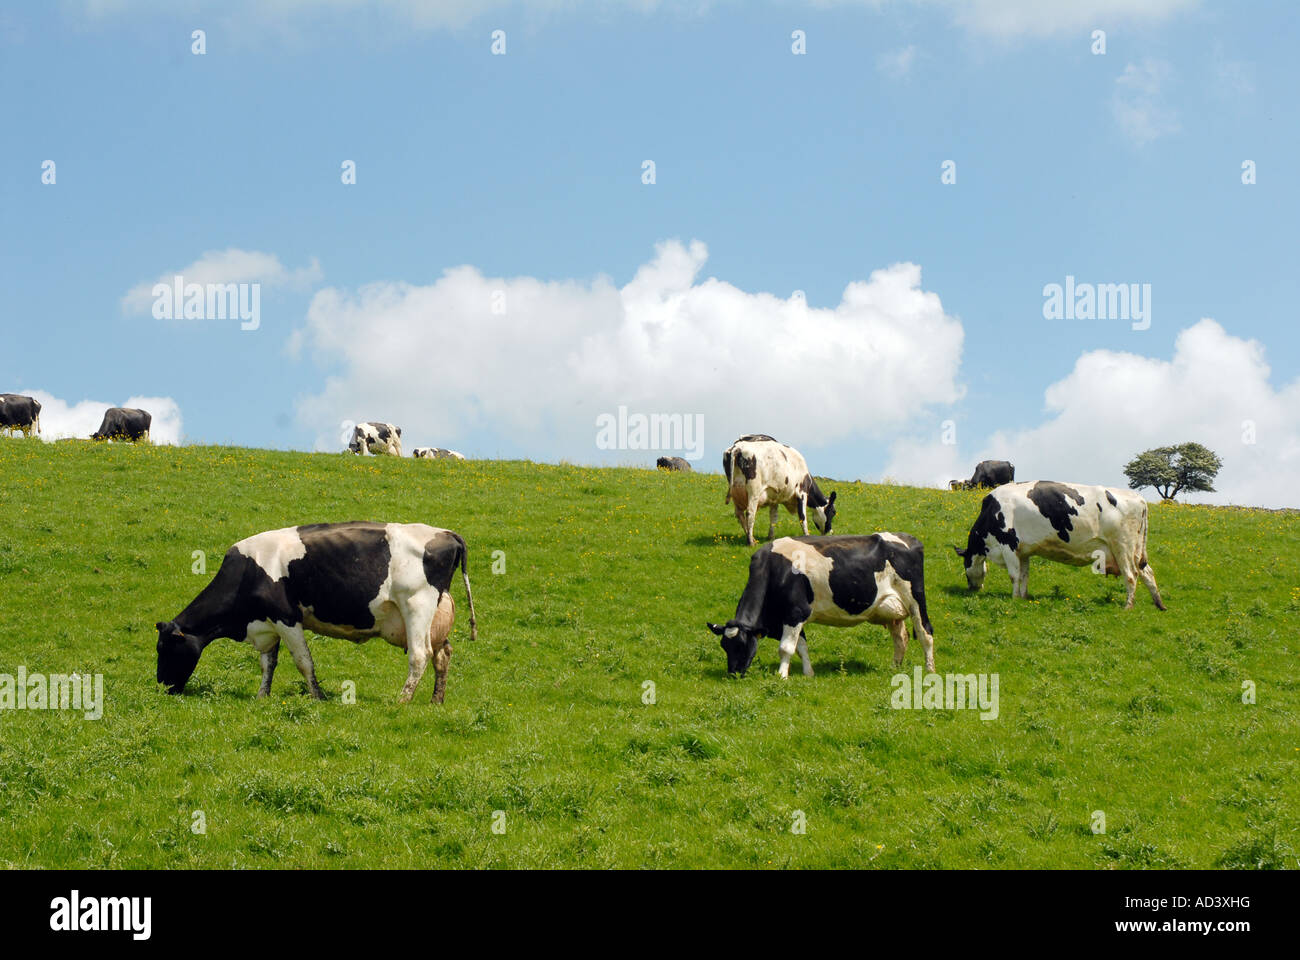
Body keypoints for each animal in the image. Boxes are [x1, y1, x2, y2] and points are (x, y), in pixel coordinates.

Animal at [155, 521, 478, 703]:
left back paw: (402, 700)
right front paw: (261, 697)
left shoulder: (287, 618)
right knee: (442, 655)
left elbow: (303, 662)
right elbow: (268, 664)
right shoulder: (267, 624)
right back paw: (436, 700)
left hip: (416, 605)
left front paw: (318, 697)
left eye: (166, 649)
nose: (161, 687)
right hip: (435, 618)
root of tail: (445, 533)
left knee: (420, 655)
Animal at [707, 533, 935, 678]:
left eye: (741, 644)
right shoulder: (790, 617)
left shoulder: (796, 612)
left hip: (915, 599)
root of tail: (909, 539)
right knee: (901, 638)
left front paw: (781, 676)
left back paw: (930, 670)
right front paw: (808, 673)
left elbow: (786, 648)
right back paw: (894, 667)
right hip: (892, 609)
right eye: (725, 646)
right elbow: (801, 647)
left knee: (926, 633)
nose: (733, 673)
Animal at [953, 480, 1166, 610]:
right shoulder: (1024, 551)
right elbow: (1024, 575)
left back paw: (1127, 606)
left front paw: (1014, 598)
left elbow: (1014, 575)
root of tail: (1139, 498)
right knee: (1148, 573)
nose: (972, 588)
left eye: (965, 568)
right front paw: (1023, 597)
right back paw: (1159, 604)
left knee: (1131, 575)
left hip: (1122, 546)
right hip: (1136, 550)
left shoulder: (1008, 545)